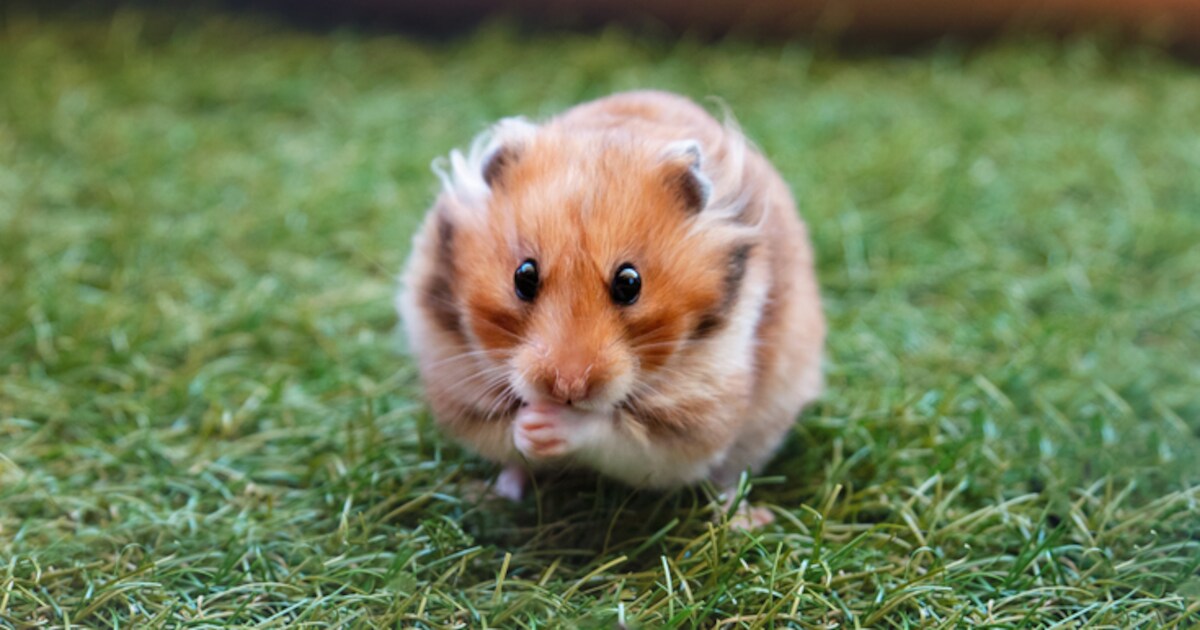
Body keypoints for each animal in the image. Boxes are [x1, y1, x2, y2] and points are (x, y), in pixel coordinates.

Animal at [398, 90, 824, 507]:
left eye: (629, 283)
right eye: (524, 277)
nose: (566, 388)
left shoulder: (695, 417)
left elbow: (614, 434)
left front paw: (549, 425)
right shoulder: (458, 384)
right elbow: (504, 433)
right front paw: (528, 427)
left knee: (729, 478)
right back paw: (492, 494)